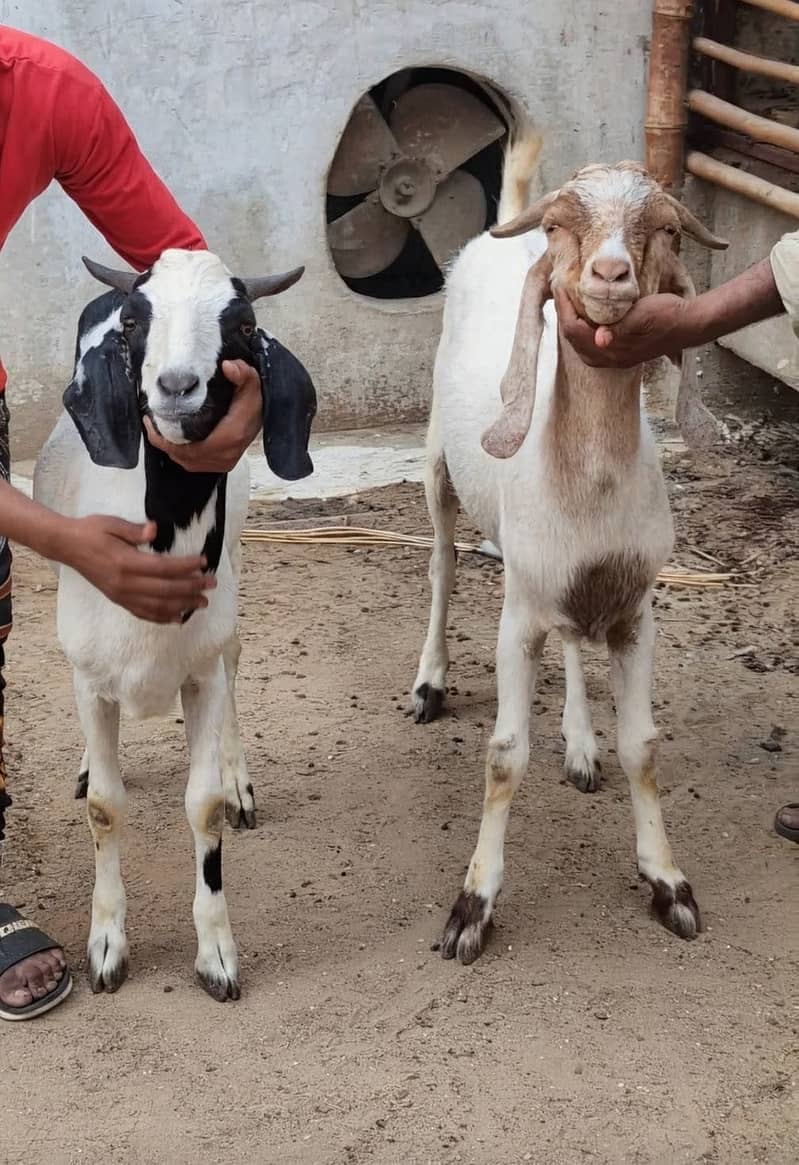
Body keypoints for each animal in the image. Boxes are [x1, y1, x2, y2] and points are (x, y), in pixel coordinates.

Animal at [410, 135, 728, 965]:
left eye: (666, 231)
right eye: (559, 227)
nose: (610, 274)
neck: (590, 490)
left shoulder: (634, 609)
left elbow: (642, 746)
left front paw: (667, 880)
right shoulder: (516, 619)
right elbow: (502, 755)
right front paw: (473, 904)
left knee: (569, 639)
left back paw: (580, 739)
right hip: (436, 464)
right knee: (442, 563)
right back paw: (429, 680)